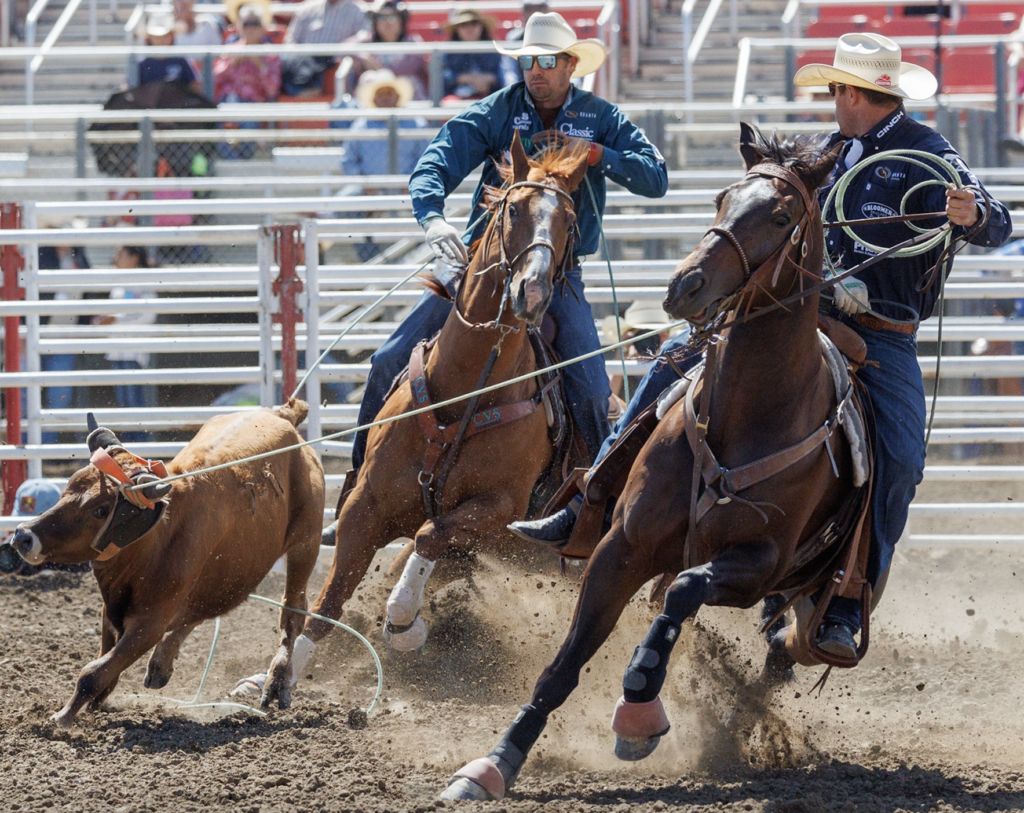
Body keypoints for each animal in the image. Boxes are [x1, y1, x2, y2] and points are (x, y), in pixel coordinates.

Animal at [237, 133, 592, 709]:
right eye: (513, 210)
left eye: (570, 221)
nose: (533, 294)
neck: (464, 394)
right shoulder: (364, 507)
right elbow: (329, 603)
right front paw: (279, 678)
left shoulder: (498, 511)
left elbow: (429, 536)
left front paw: (406, 624)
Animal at [441, 123, 872, 801]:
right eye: (723, 198)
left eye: (781, 216)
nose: (686, 286)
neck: (745, 415)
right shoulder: (623, 545)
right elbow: (565, 662)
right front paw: (495, 761)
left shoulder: (755, 566)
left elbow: (685, 593)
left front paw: (638, 710)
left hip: (809, 599)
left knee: (781, 647)